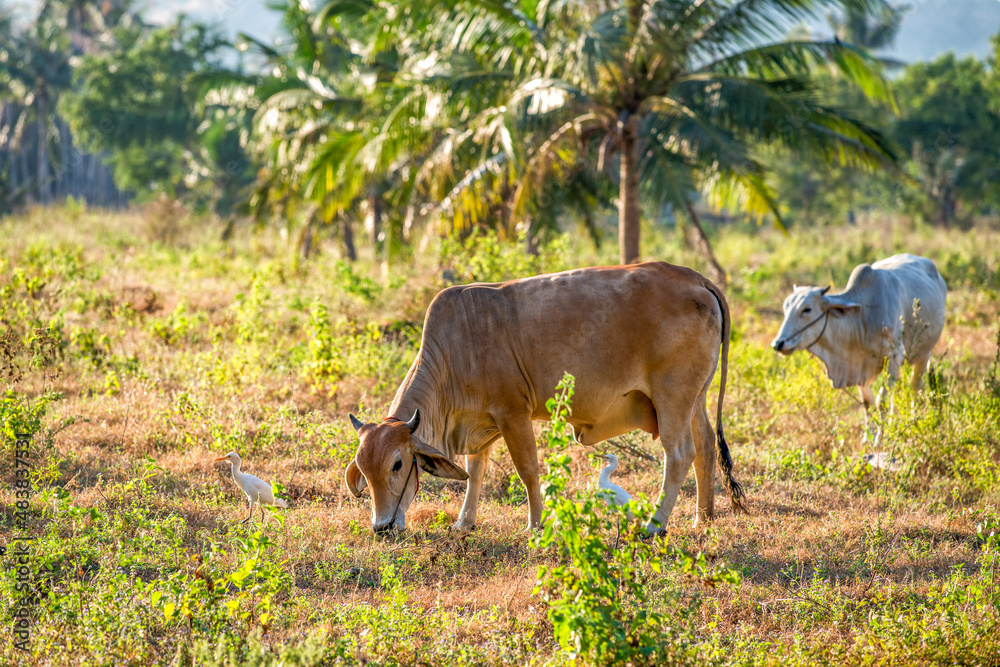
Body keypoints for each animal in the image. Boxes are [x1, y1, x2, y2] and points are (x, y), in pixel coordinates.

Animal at [344, 262, 746, 534]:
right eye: (364, 469)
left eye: (397, 464)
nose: (381, 527)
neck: (454, 350)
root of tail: (696, 278)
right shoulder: (480, 424)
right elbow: (475, 472)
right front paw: (464, 522)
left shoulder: (512, 414)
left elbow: (528, 471)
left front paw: (535, 524)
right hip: (695, 399)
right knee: (706, 447)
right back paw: (703, 518)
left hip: (672, 397)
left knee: (679, 455)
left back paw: (655, 524)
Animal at [771, 253, 947, 412]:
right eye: (785, 308)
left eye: (807, 309)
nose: (778, 344)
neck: (861, 318)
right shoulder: (857, 367)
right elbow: (867, 402)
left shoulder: (894, 356)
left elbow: (882, 401)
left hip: (924, 354)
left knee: (915, 389)